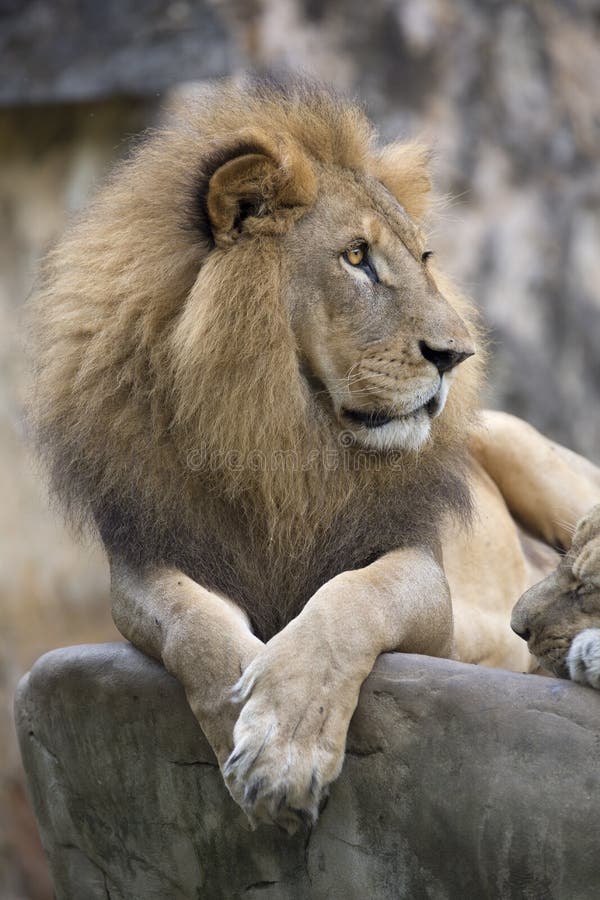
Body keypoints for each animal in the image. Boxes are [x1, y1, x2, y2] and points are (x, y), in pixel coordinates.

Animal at [29, 77, 600, 832]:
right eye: (356, 257)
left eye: (424, 260)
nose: (456, 355)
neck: (285, 440)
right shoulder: (148, 560)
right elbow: (193, 625)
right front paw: (242, 715)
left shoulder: (426, 583)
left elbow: (349, 601)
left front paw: (283, 745)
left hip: (515, 443)